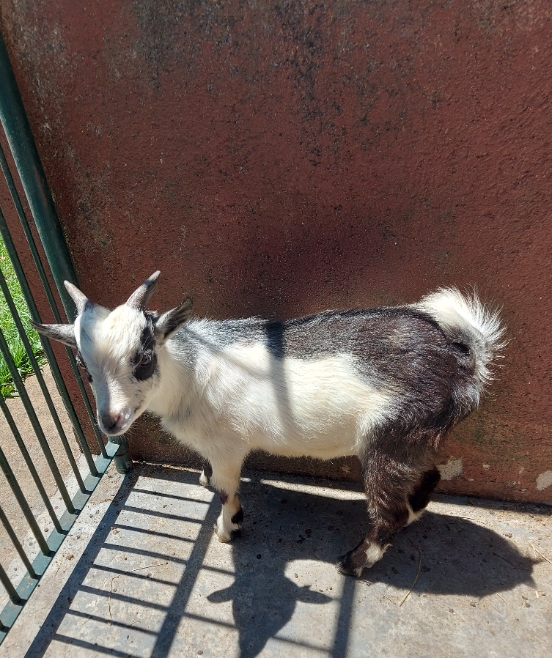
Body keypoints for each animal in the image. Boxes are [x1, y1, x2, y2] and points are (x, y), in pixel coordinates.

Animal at [33, 272, 504, 576]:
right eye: (84, 367)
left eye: (144, 358)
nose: (110, 421)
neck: (191, 371)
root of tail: (463, 359)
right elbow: (212, 480)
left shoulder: (227, 448)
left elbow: (226, 490)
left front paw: (229, 529)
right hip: (416, 438)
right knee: (429, 477)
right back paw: (413, 517)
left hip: (388, 439)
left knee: (389, 511)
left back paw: (352, 563)